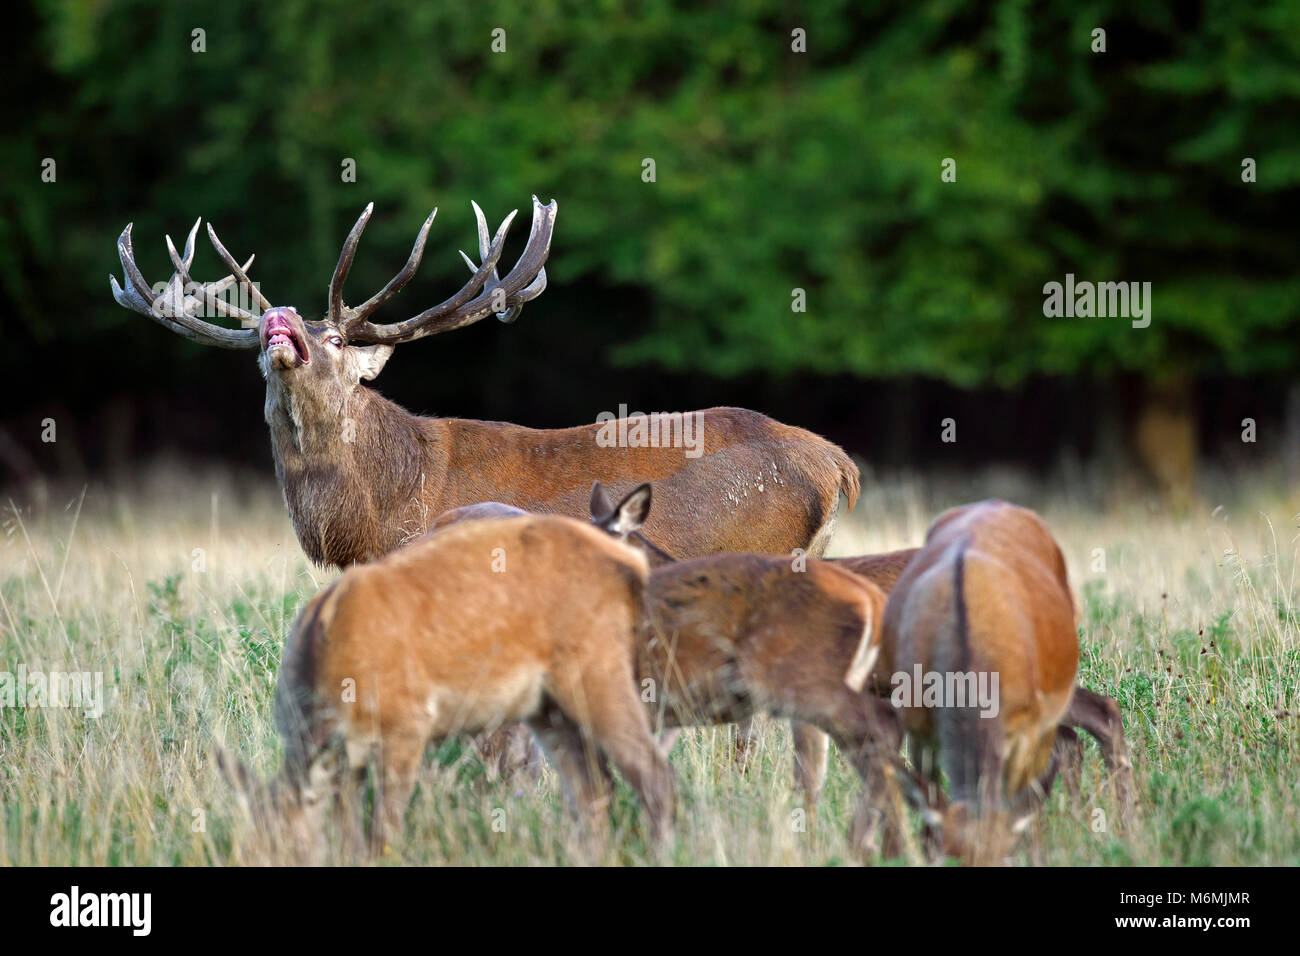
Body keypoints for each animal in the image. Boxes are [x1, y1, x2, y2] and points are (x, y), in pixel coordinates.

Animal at [216, 511, 674, 862]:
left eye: (286, 849)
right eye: (243, 846)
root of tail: (631, 562)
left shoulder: (406, 725)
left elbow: (382, 833)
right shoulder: (349, 758)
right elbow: (348, 837)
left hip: (597, 666)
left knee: (652, 771)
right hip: (548, 706)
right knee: (596, 787)